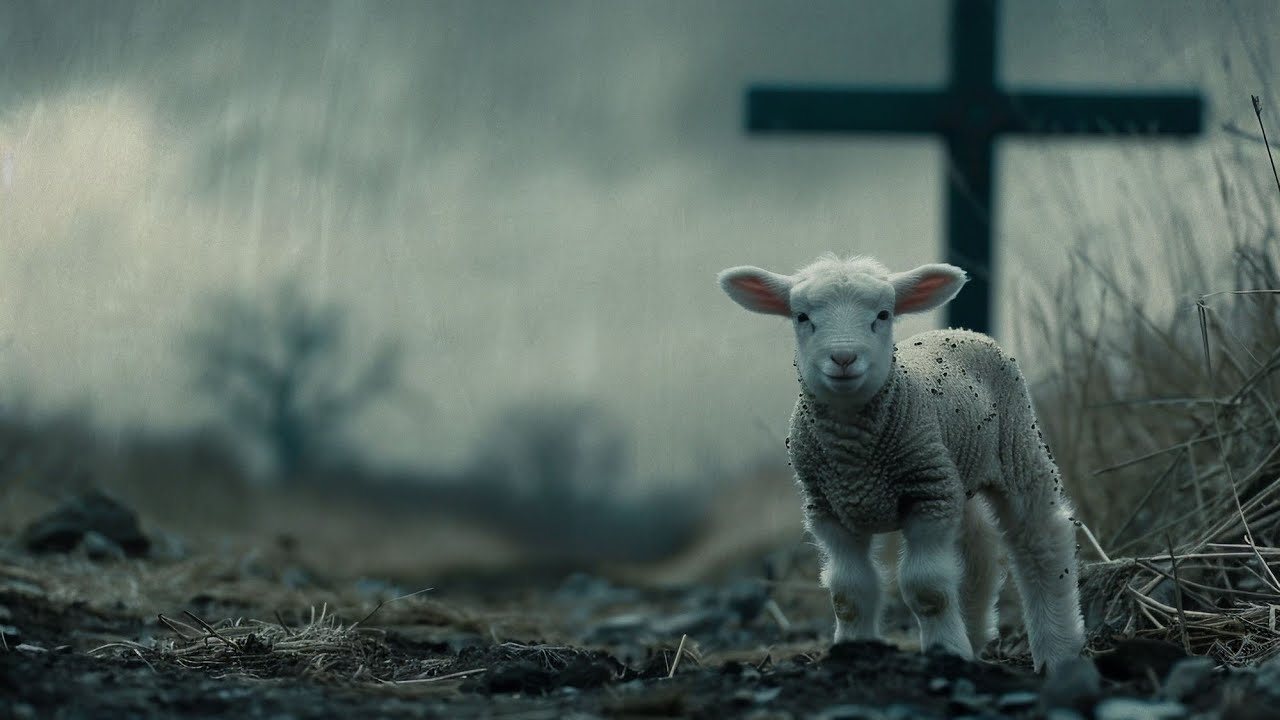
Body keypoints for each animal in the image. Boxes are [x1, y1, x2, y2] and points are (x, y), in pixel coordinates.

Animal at [717, 253, 1085, 673]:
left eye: (883, 314)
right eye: (802, 317)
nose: (843, 357)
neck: (856, 459)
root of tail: (962, 329)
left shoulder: (926, 498)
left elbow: (926, 587)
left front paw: (946, 650)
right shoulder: (829, 510)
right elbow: (848, 592)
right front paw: (853, 649)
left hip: (1016, 446)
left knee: (1040, 539)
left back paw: (1058, 650)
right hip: (954, 471)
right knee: (976, 549)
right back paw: (975, 635)